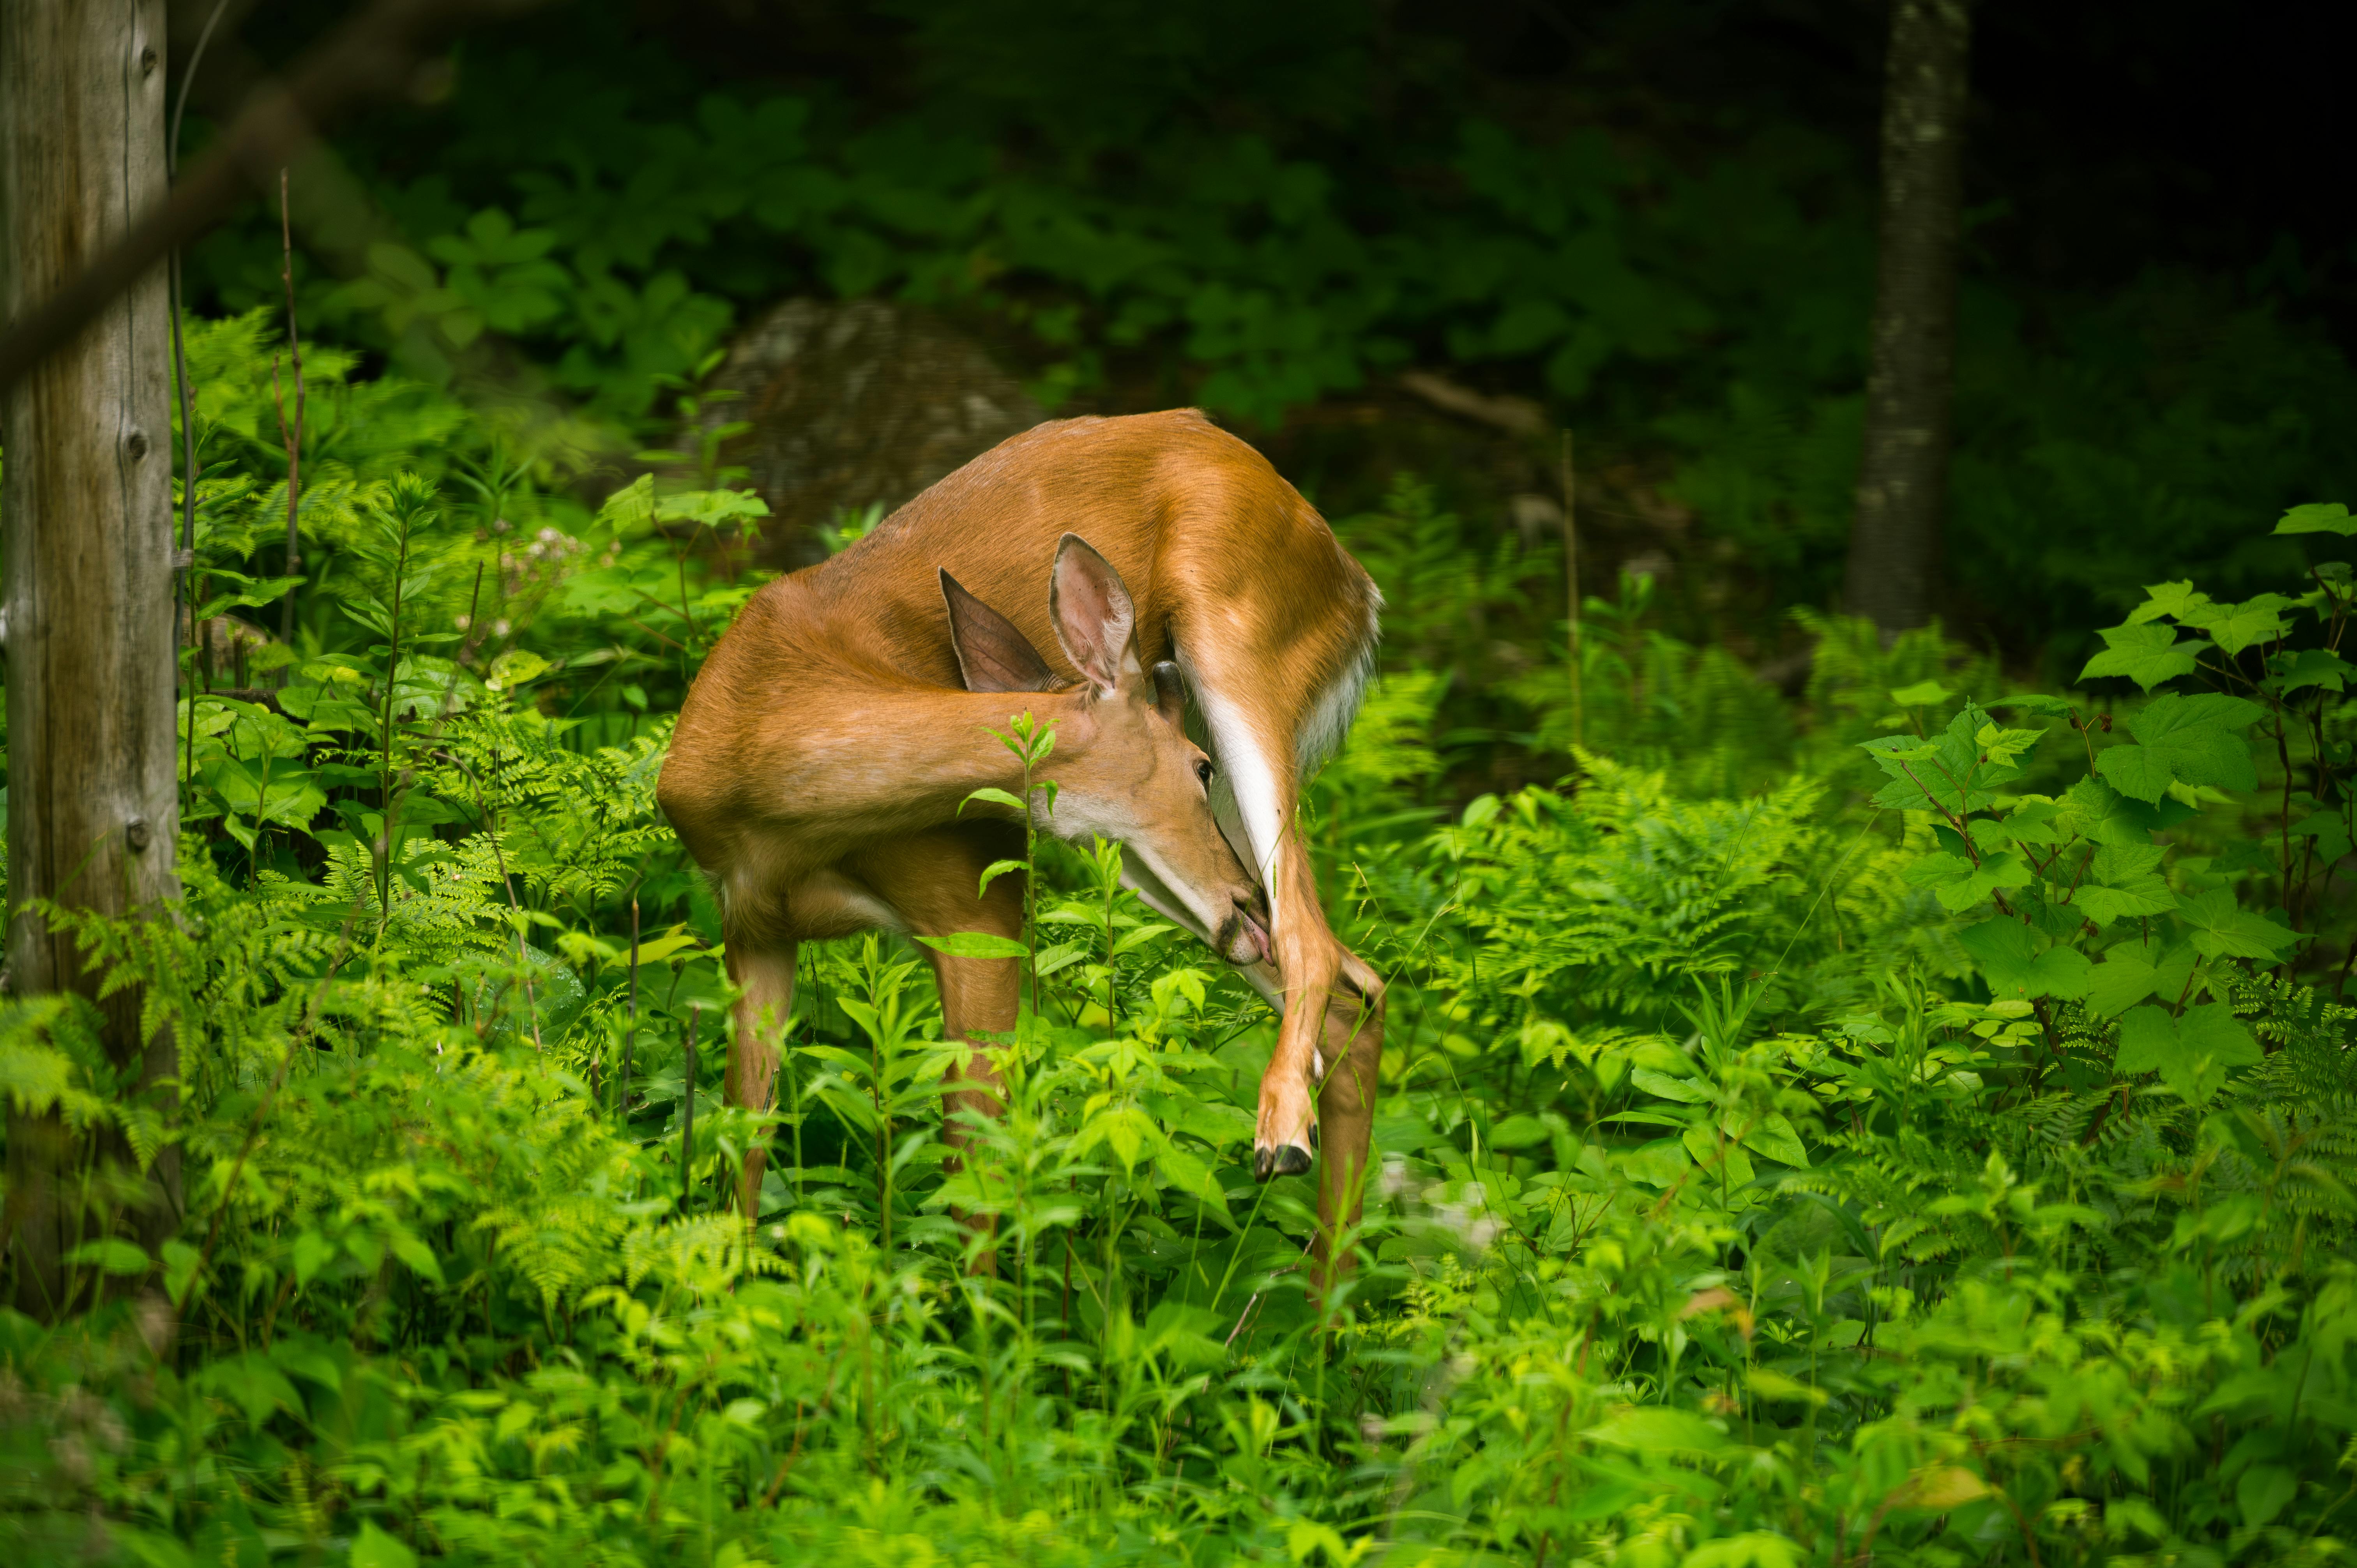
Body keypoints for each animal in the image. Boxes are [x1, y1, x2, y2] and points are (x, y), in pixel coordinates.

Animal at [657, 408, 1385, 1276]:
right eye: (1194, 766)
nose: (1243, 897)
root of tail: (1351, 572)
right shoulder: (752, 926)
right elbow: (744, 1151)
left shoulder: (975, 901)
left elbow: (975, 1167)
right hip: (1157, 869)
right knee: (1352, 990)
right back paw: (1324, 1299)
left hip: (1245, 651)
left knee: (1318, 946)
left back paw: (1280, 1139)